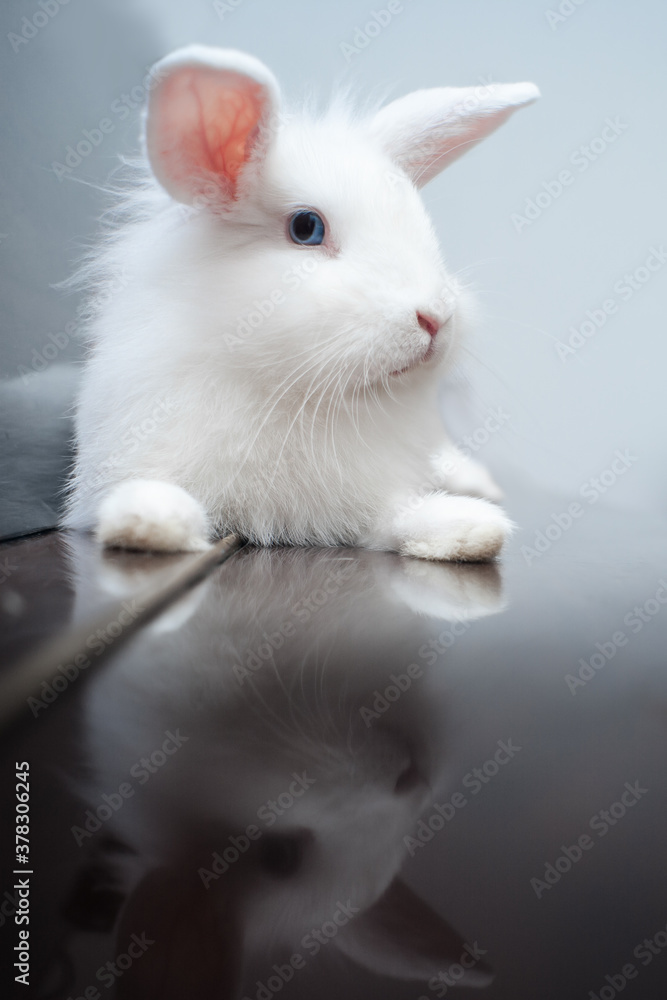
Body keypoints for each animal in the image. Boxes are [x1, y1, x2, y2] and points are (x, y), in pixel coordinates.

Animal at [63, 45, 539, 561]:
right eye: (307, 227)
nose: (435, 318)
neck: (284, 391)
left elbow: (400, 518)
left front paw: (470, 529)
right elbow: (150, 491)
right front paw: (150, 521)